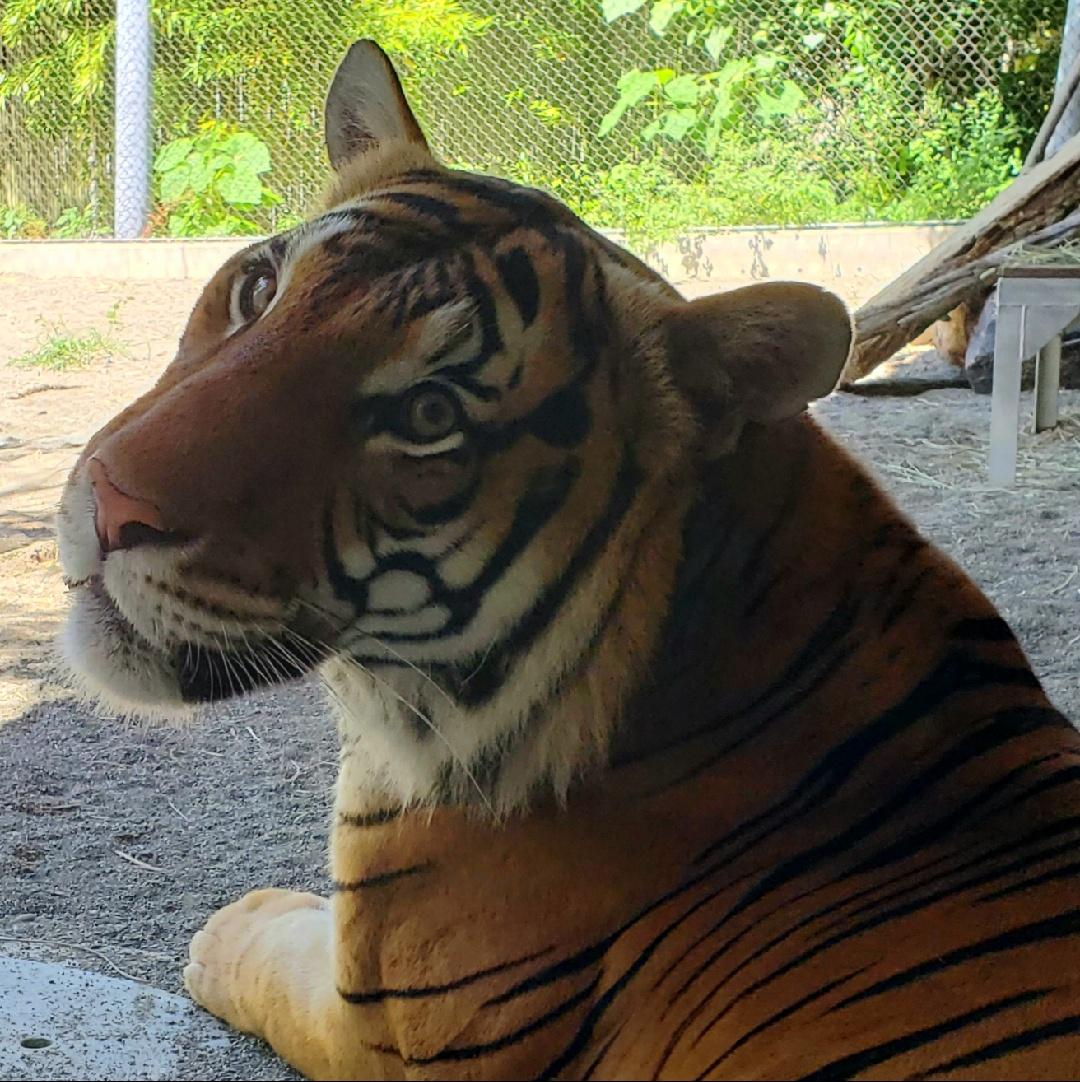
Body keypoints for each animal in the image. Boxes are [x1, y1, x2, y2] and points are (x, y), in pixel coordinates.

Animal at [55, 39, 1080, 1081]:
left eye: (430, 414)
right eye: (260, 290)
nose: (108, 496)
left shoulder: (379, 1028)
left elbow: (258, 953)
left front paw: (229, 923)